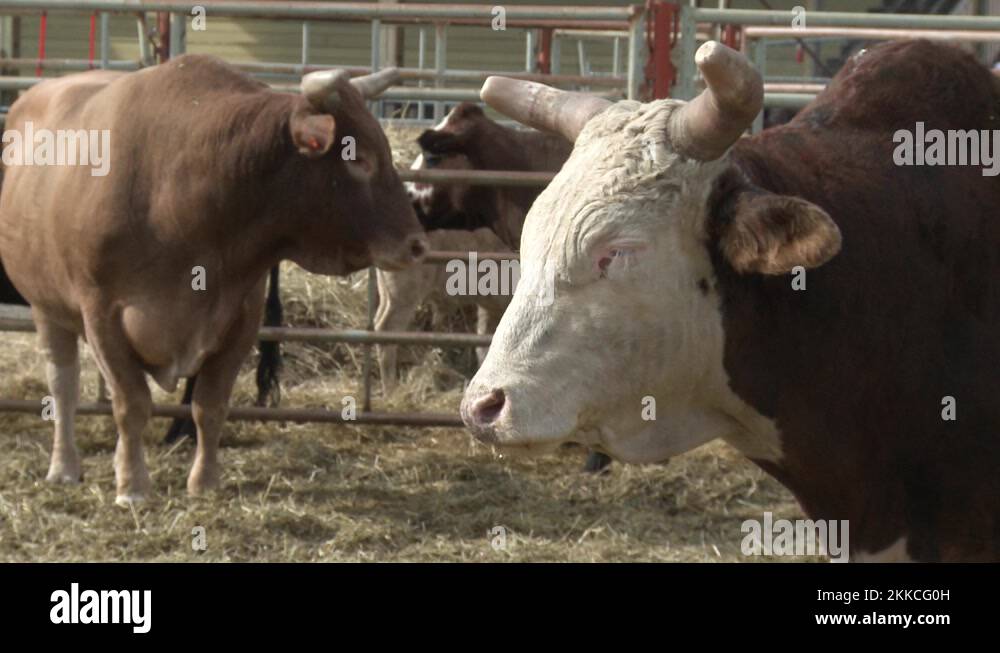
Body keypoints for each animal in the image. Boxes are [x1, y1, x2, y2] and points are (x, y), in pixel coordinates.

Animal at [0, 55, 428, 505]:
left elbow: (210, 404)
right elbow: (131, 403)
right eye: (358, 158)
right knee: (63, 386)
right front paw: (132, 485)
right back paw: (64, 465)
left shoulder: (242, 317)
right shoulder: (102, 314)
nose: (417, 244)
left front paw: (203, 482)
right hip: (46, 306)